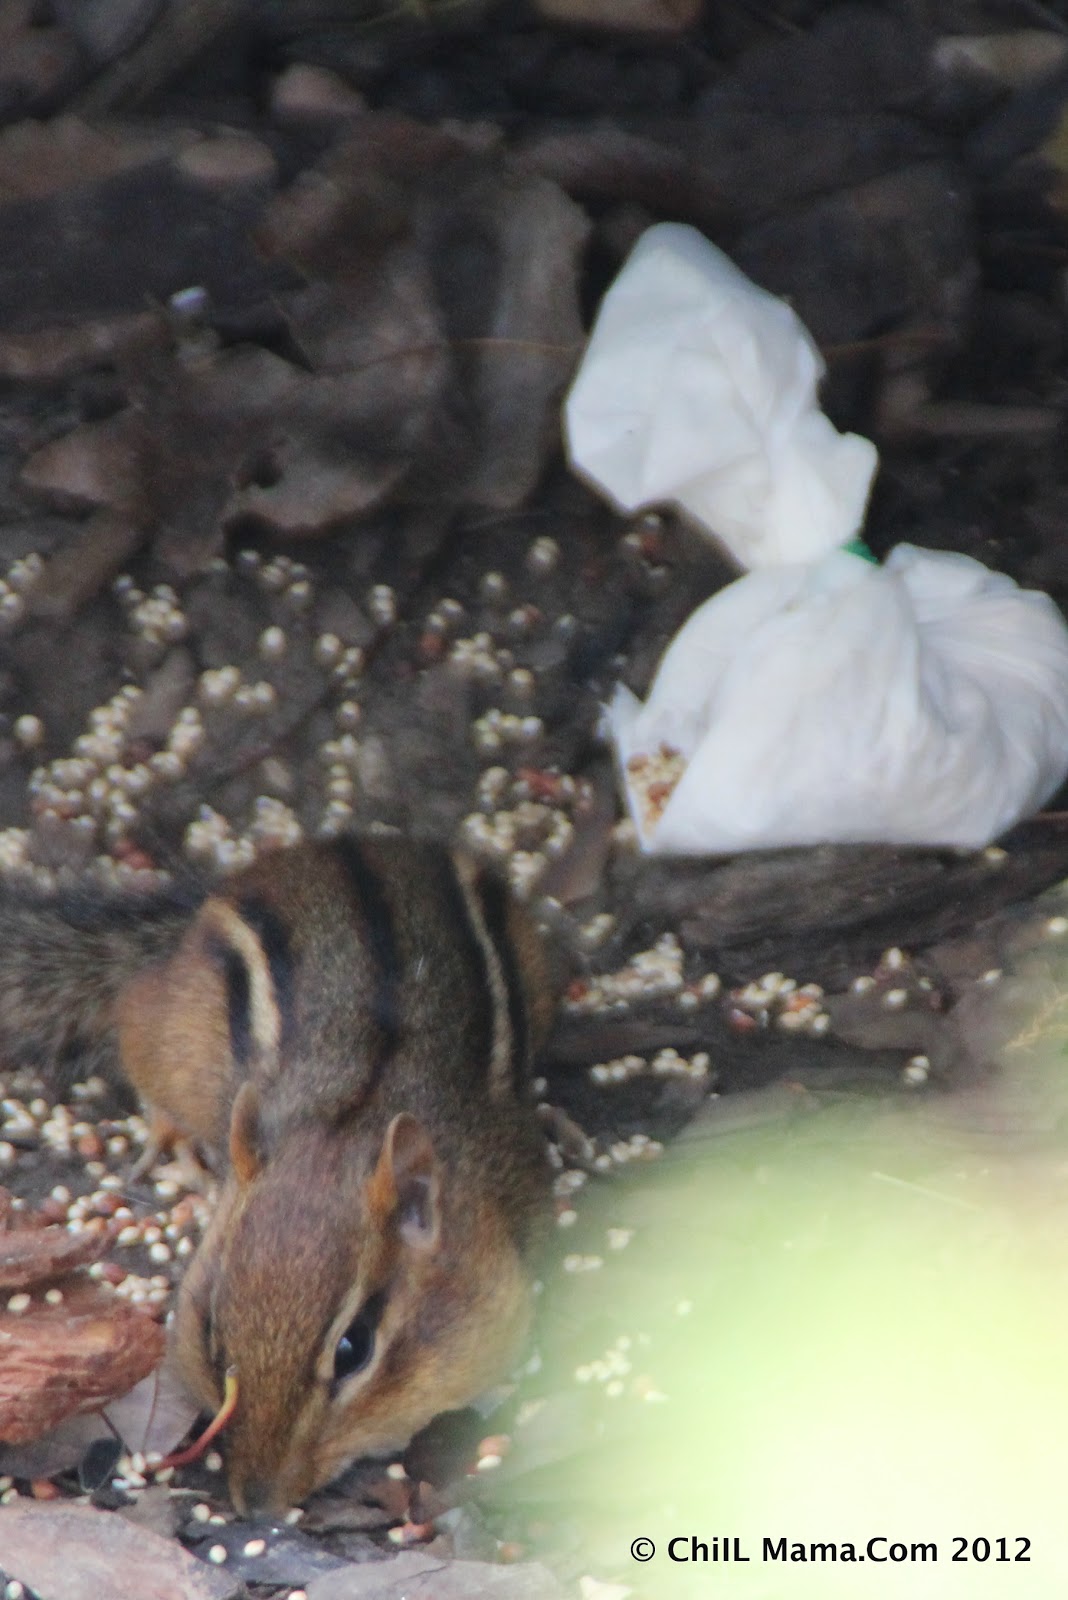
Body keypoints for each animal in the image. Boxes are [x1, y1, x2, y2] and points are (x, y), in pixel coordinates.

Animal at [0, 835, 556, 1514]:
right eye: (213, 1335)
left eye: (353, 1349)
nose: (258, 1501)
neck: (352, 1119)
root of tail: (350, 846)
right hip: (169, 1024)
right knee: (134, 1019)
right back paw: (174, 1139)